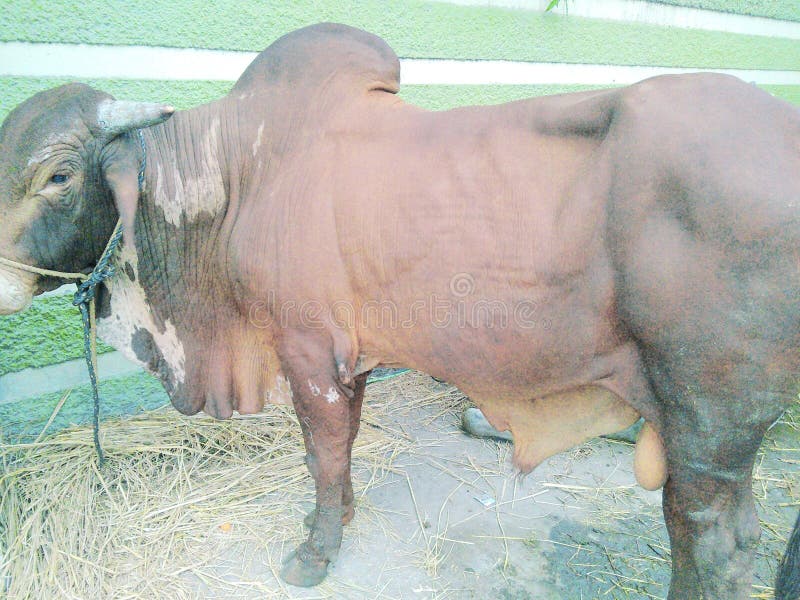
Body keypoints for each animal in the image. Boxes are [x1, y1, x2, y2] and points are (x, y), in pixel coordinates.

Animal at [0, 23, 798, 599]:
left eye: (59, 175)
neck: (237, 174)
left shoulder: (306, 351)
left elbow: (323, 451)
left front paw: (315, 553)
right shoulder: (350, 356)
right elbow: (342, 446)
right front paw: (338, 517)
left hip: (709, 422)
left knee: (712, 540)